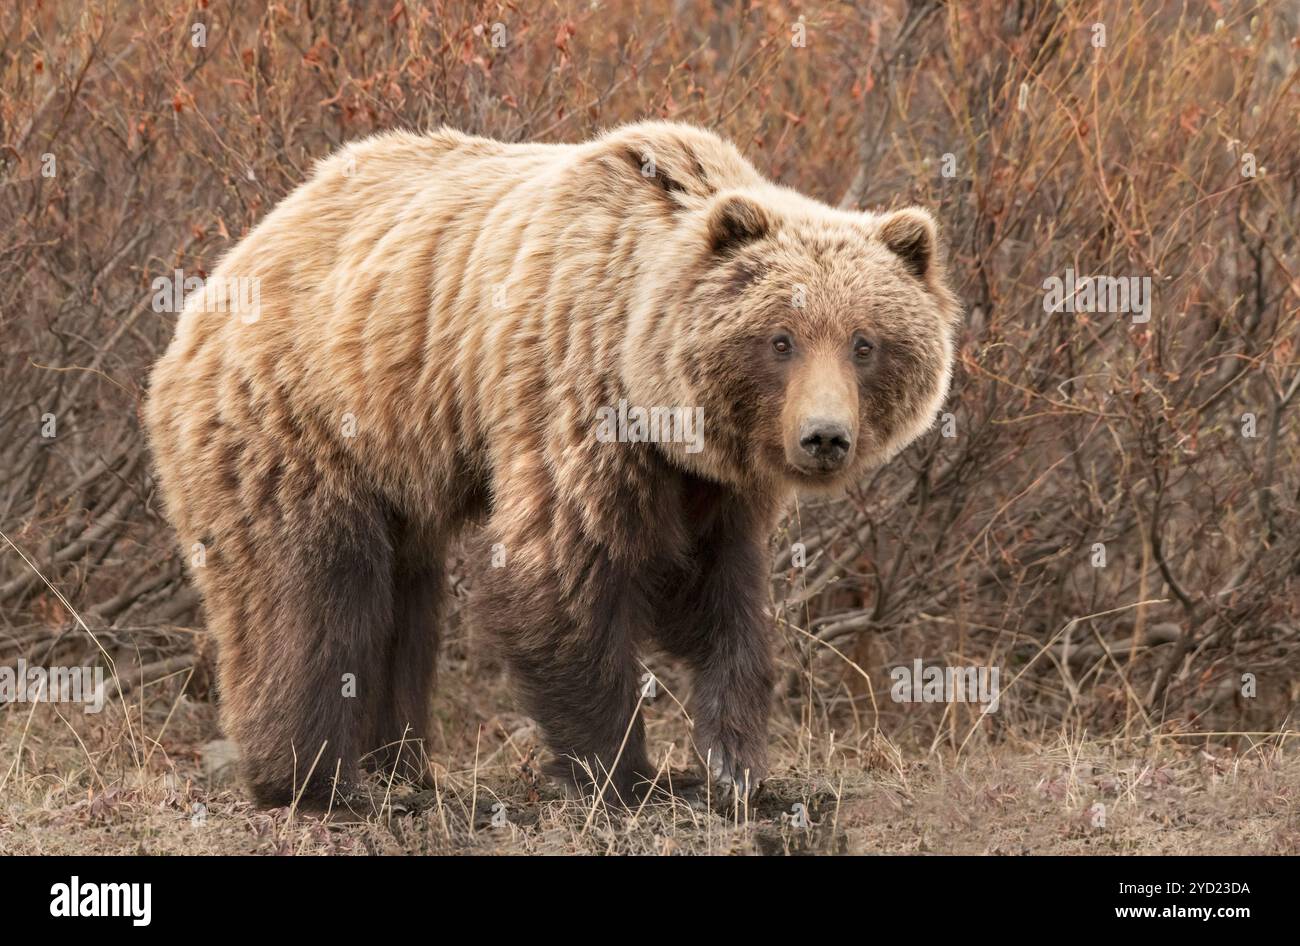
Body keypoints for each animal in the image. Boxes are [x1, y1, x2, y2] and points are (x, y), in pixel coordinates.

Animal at [144, 121, 960, 809]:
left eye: (864, 342)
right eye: (780, 339)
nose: (824, 437)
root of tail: (227, 267)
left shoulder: (708, 483)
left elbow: (722, 600)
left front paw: (738, 767)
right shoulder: (575, 399)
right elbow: (566, 575)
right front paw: (627, 776)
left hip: (396, 464)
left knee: (405, 598)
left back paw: (402, 769)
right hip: (301, 419)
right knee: (310, 591)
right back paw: (316, 783)